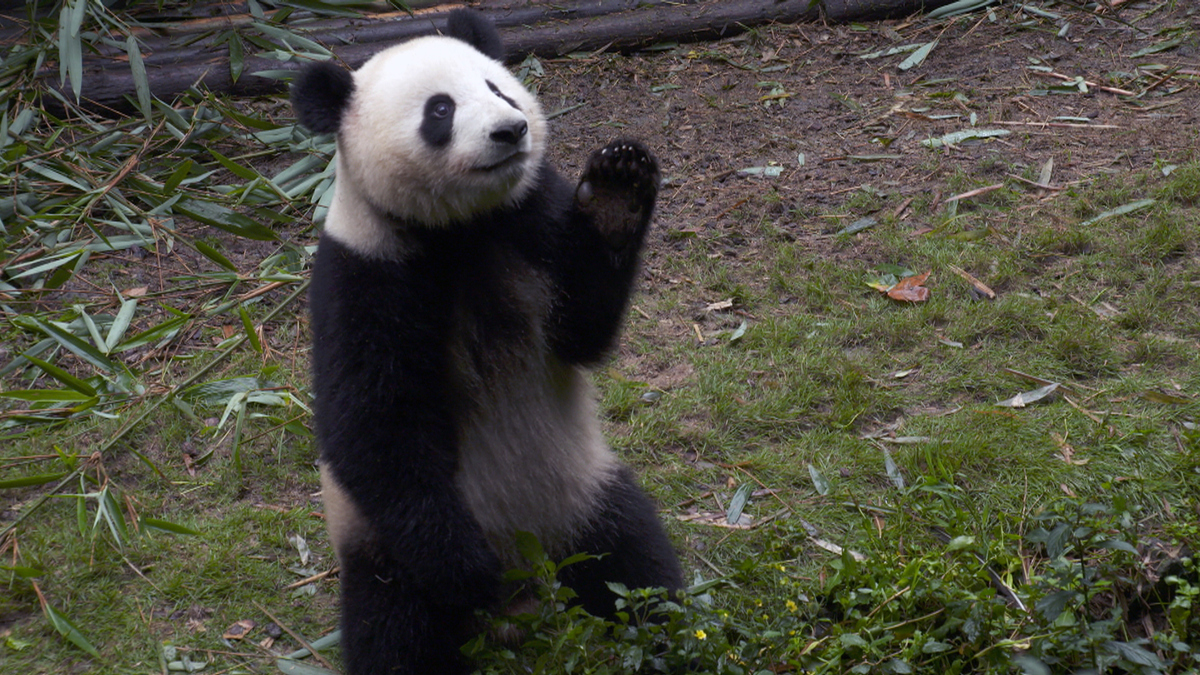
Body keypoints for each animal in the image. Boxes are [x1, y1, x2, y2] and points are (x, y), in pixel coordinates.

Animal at [291, 10, 684, 675]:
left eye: (498, 87)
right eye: (440, 110)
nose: (510, 130)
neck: (460, 228)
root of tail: (530, 586)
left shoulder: (532, 220)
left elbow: (583, 330)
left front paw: (617, 189)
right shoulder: (365, 272)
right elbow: (374, 422)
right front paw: (467, 569)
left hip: (581, 493)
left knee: (635, 563)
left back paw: (674, 640)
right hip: (383, 549)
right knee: (394, 630)